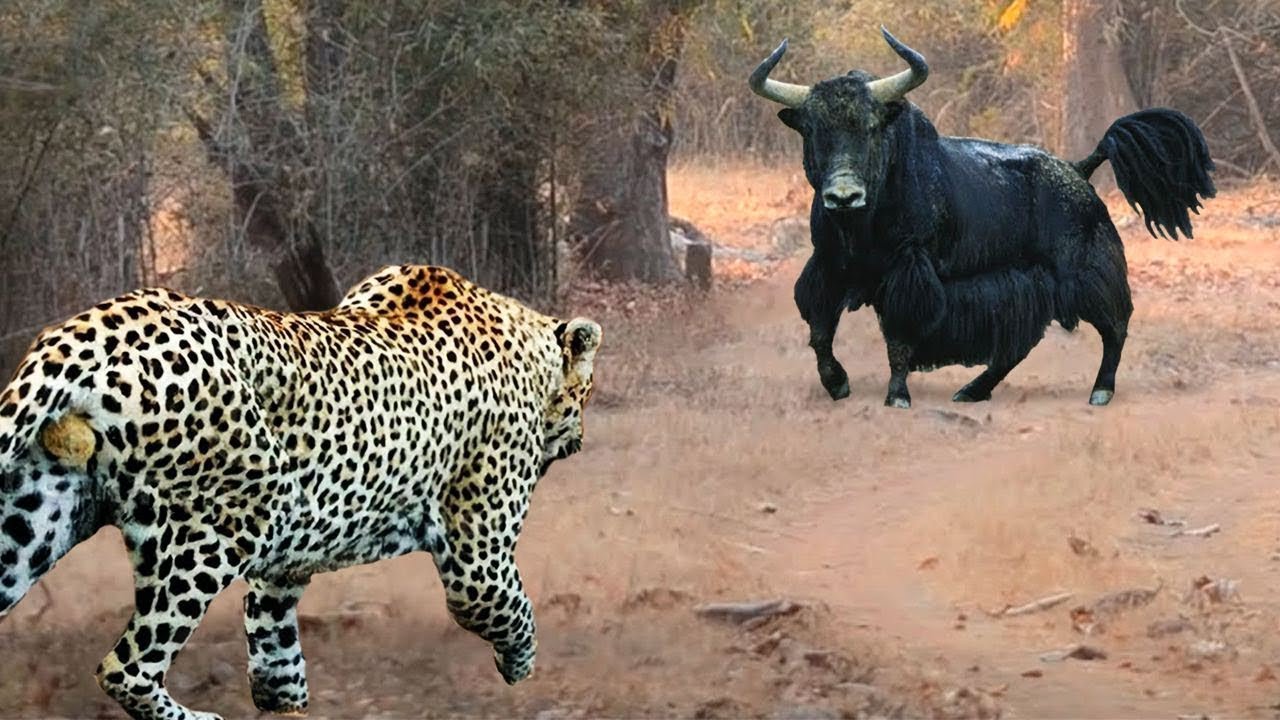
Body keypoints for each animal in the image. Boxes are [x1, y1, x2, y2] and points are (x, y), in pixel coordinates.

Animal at [750, 27, 1215, 408]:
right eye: (813, 131)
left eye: (871, 127)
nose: (843, 196)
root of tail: (1078, 169)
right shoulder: (828, 268)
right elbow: (820, 330)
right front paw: (837, 385)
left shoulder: (909, 272)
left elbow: (898, 336)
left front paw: (896, 396)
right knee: (1018, 345)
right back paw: (972, 390)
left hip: (1083, 273)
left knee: (1114, 326)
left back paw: (1100, 391)